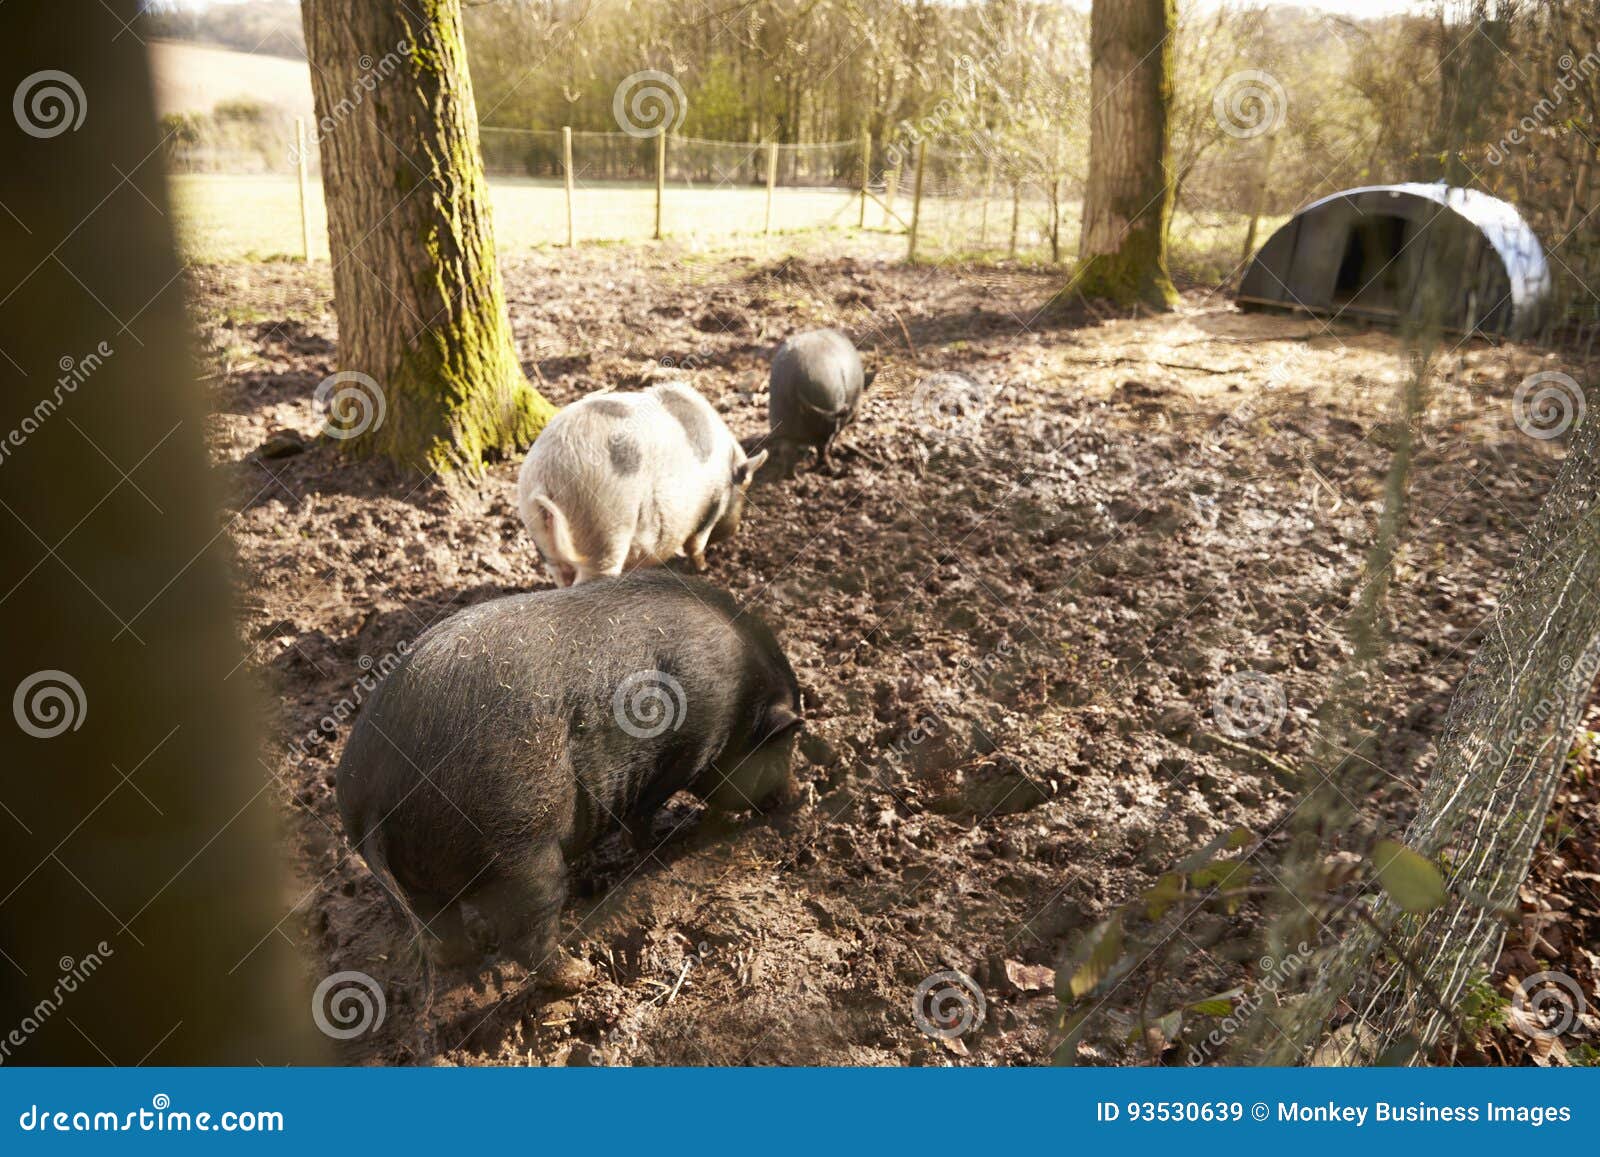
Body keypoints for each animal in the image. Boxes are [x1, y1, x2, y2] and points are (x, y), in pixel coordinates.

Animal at [335, 570, 803, 990]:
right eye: (785, 745)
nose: (795, 798)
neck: (744, 701)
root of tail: (373, 797)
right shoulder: (685, 752)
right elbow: (644, 814)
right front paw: (664, 843)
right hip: (520, 847)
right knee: (527, 934)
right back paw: (584, 974)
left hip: (423, 879)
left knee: (440, 933)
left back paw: (471, 959)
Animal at [516, 380, 766, 587]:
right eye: (743, 490)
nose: (733, 531)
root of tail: (547, 476)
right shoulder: (712, 506)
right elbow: (696, 544)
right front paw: (702, 568)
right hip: (602, 525)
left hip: (541, 535)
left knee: (561, 576)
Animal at [768, 328, 871, 471]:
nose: (857, 415)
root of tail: (796, 379)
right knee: (823, 447)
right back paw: (835, 469)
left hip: (780, 420)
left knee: (787, 452)